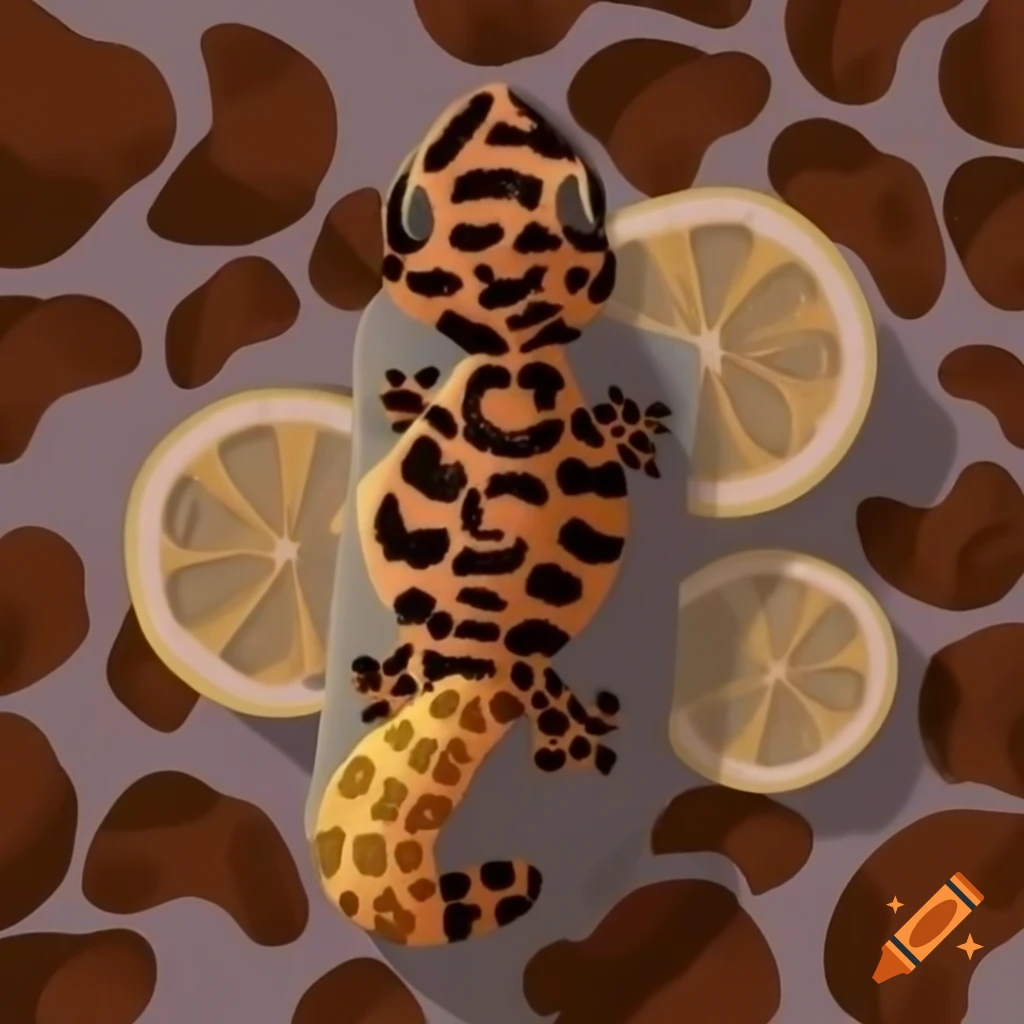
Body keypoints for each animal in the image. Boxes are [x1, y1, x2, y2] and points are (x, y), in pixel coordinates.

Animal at [311, 83, 671, 947]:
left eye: (581, 191)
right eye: (412, 198)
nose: (496, 89)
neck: (510, 351)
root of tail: (479, 664)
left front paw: (640, 429)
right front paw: (403, 393)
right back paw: (388, 683)